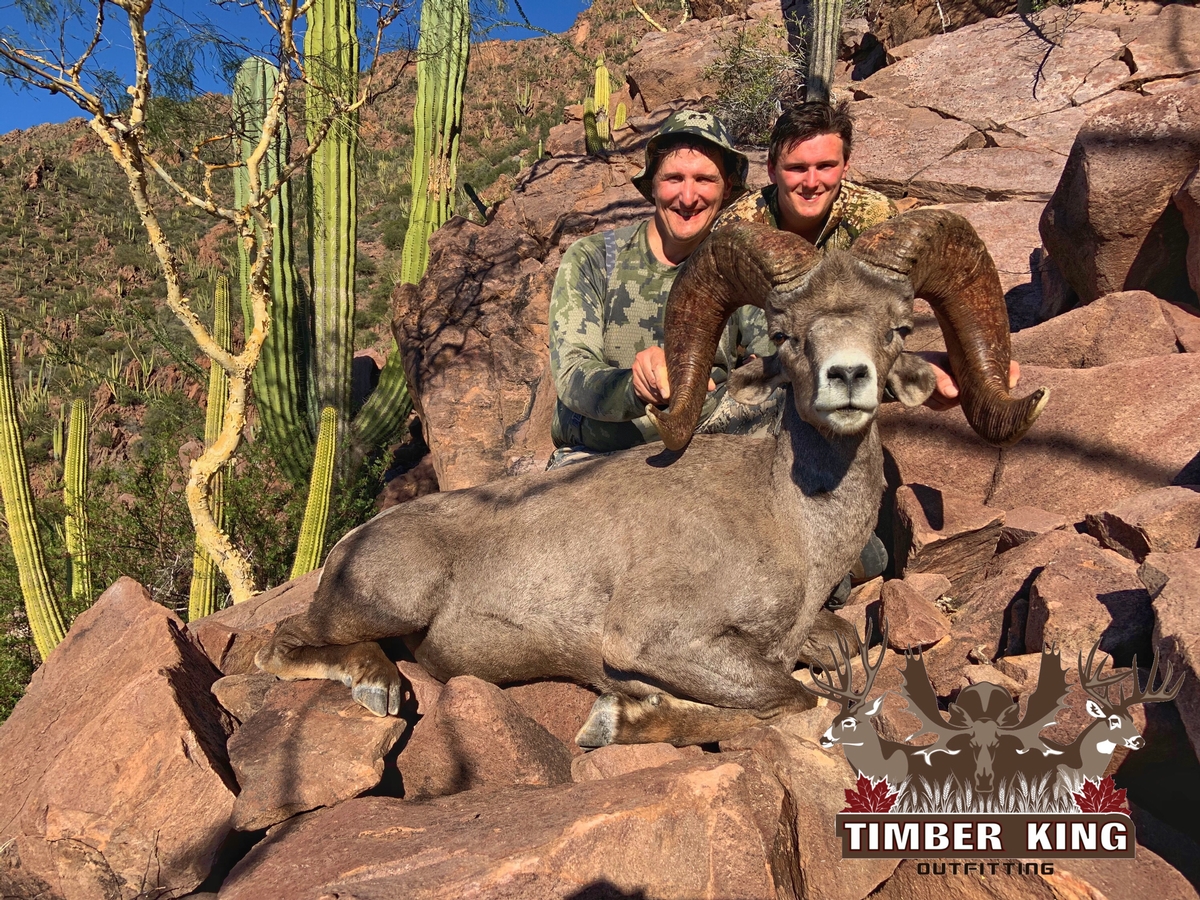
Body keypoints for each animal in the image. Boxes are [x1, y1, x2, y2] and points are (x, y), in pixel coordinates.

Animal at [256, 209, 1048, 748]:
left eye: (898, 328)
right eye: (786, 333)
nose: (847, 378)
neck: (791, 523)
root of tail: (351, 543)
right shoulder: (660, 642)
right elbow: (790, 700)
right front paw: (620, 718)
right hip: (389, 598)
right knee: (280, 643)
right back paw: (378, 687)